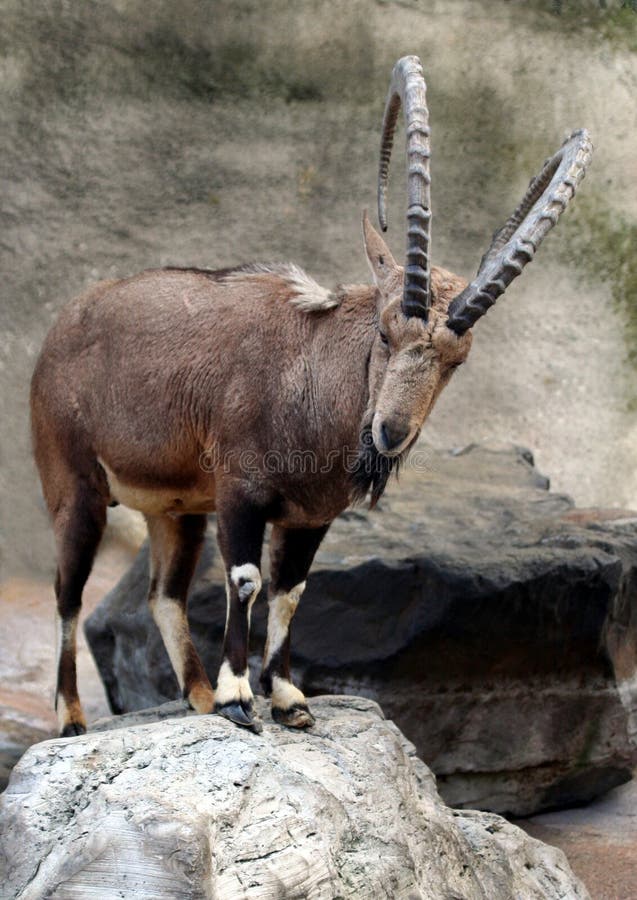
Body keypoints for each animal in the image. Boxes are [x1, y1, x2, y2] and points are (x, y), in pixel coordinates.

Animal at [31, 57, 592, 736]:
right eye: (385, 330)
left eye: (456, 362)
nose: (390, 433)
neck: (311, 384)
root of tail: (59, 332)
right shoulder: (239, 493)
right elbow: (246, 579)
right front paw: (239, 698)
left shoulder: (308, 517)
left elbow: (290, 591)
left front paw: (289, 700)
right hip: (74, 486)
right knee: (67, 591)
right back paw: (75, 717)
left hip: (175, 509)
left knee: (163, 594)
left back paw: (196, 695)